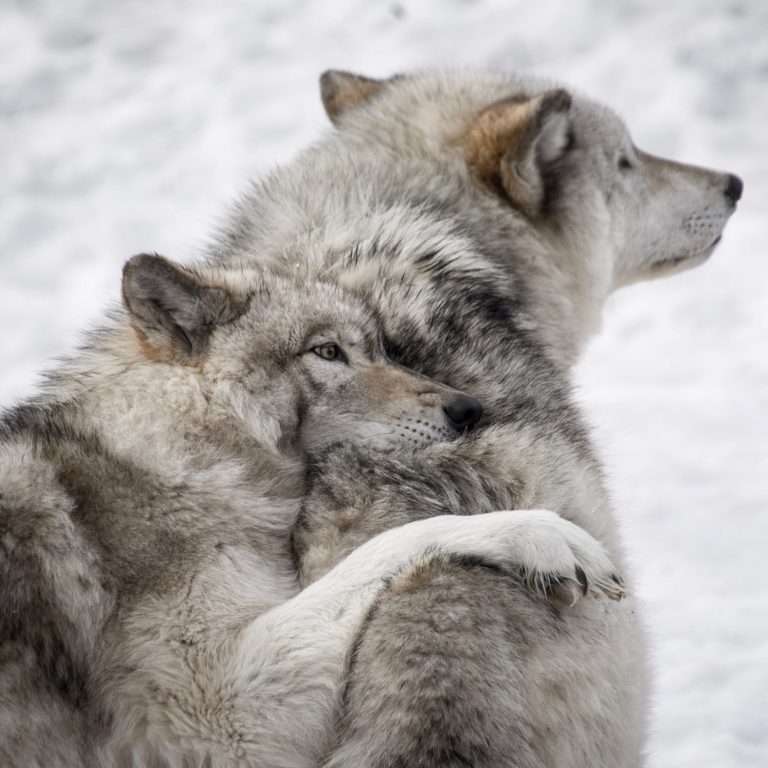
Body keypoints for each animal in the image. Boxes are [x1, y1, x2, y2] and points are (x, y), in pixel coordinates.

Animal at [0, 254, 625, 767]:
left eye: (380, 349)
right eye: (328, 351)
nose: (468, 409)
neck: (176, 450)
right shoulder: (222, 716)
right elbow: (401, 539)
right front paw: (544, 536)